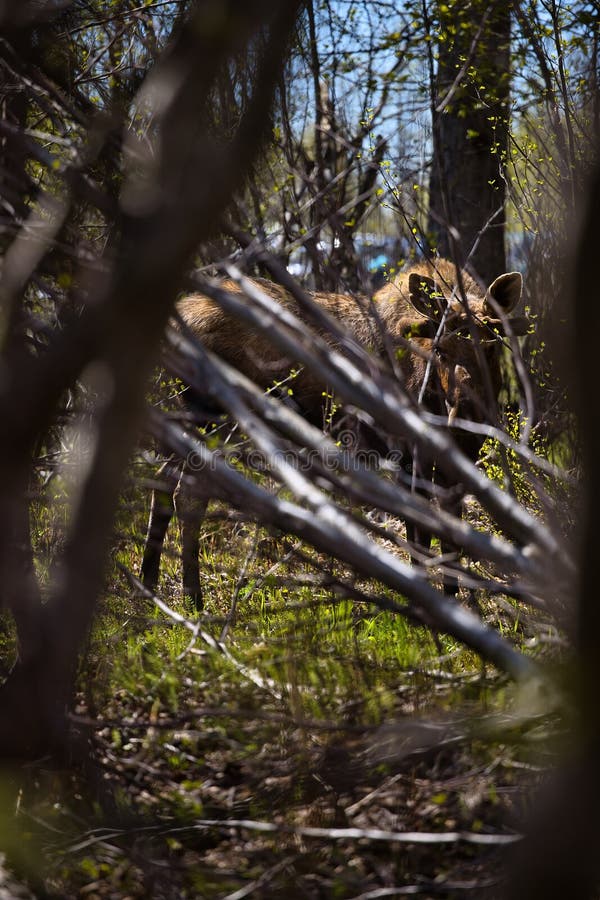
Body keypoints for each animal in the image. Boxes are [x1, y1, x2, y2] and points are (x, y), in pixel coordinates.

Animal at [140, 257, 528, 609]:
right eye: (440, 349)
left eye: (492, 345)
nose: (464, 415)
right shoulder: (405, 457)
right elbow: (420, 540)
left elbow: (452, 537)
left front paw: (459, 601)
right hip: (210, 421)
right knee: (188, 499)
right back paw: (191, 600)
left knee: (165, 487)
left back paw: (149, 588)